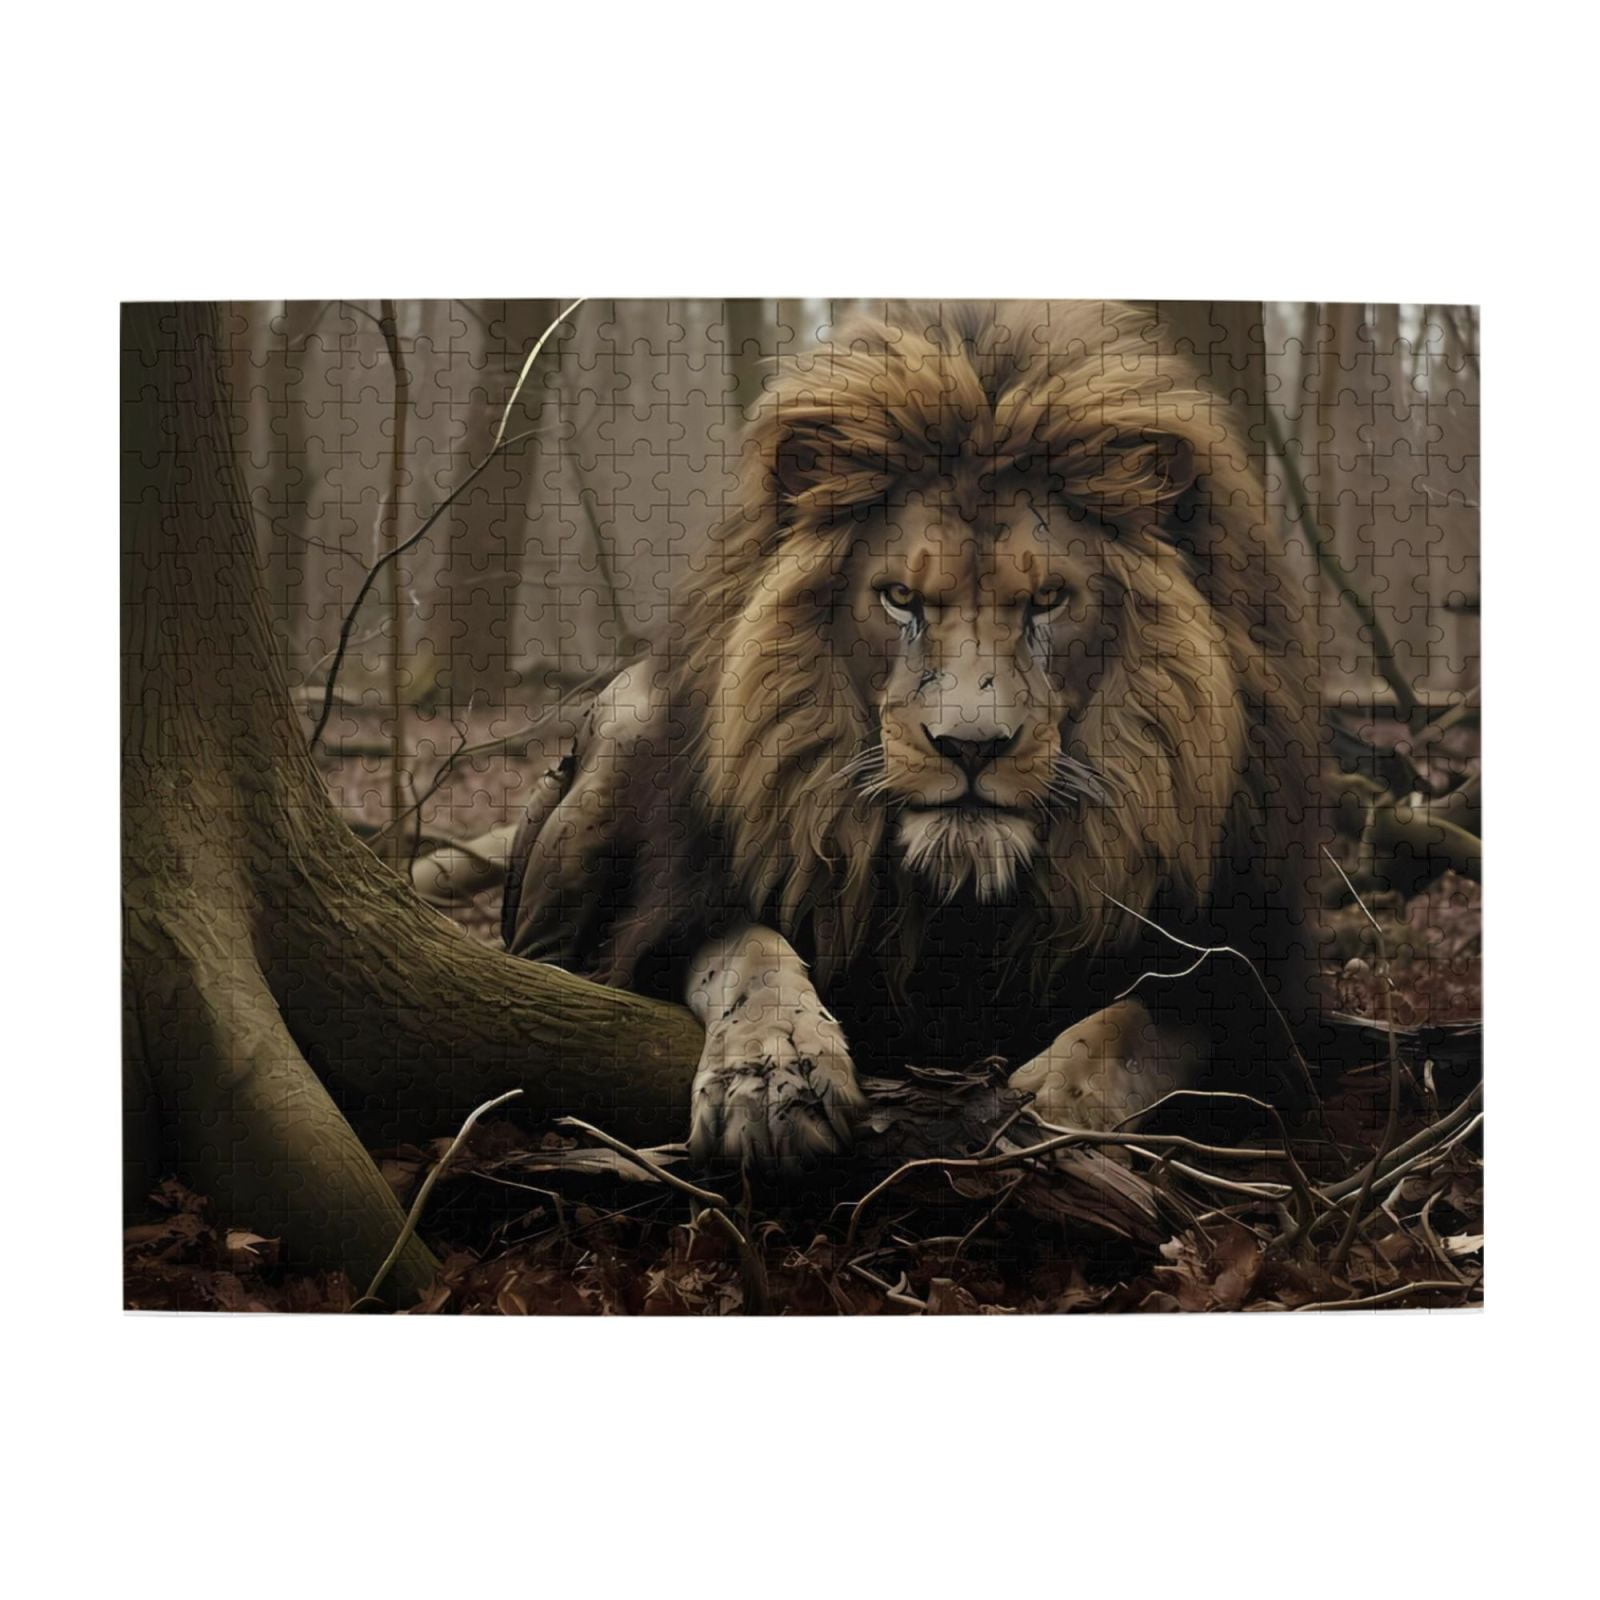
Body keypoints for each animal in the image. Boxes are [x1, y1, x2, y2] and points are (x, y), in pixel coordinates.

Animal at [503, 301, 1324, 1168]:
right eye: (900, 597)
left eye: (1048, 601)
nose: (970, 746)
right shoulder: (675, 914)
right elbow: (749, 953)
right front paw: (771, 1073)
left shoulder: (1254, 975)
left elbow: (1138, 1027)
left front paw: (1058, 1105)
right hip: (621, 738)